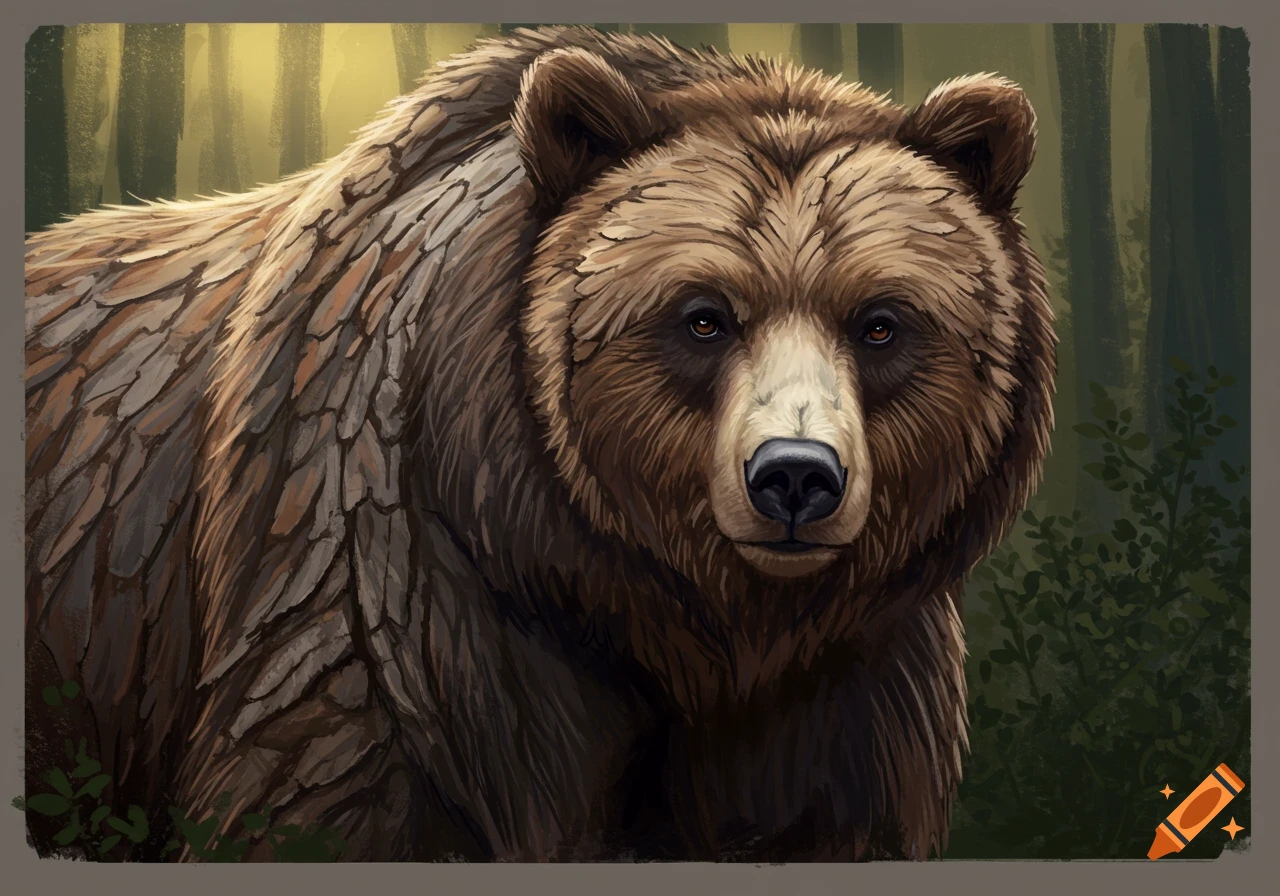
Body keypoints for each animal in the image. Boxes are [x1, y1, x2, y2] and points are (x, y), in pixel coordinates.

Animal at [24, 26, 1056, 862]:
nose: (795, 477)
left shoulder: (846, 682)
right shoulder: (401, 606)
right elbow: (316, 795)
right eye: (703, 316)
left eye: (881, 322)